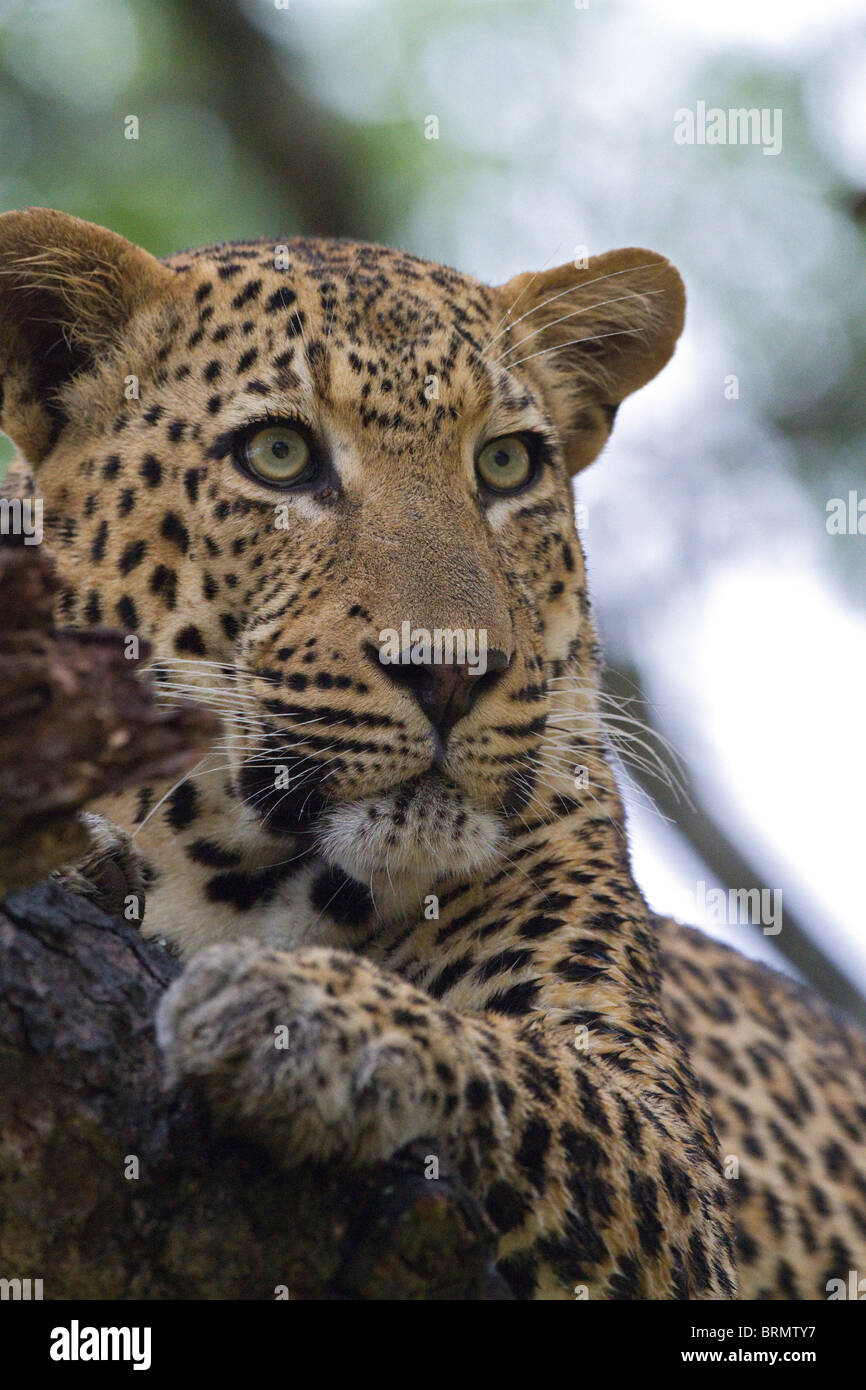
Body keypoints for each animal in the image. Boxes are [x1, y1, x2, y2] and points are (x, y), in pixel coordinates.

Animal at [1, 207, 864, 1301]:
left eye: (505, 466)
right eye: (278, 454)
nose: (451, 673)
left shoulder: (669, 1165)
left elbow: (518, 1067)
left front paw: (306, 1015)